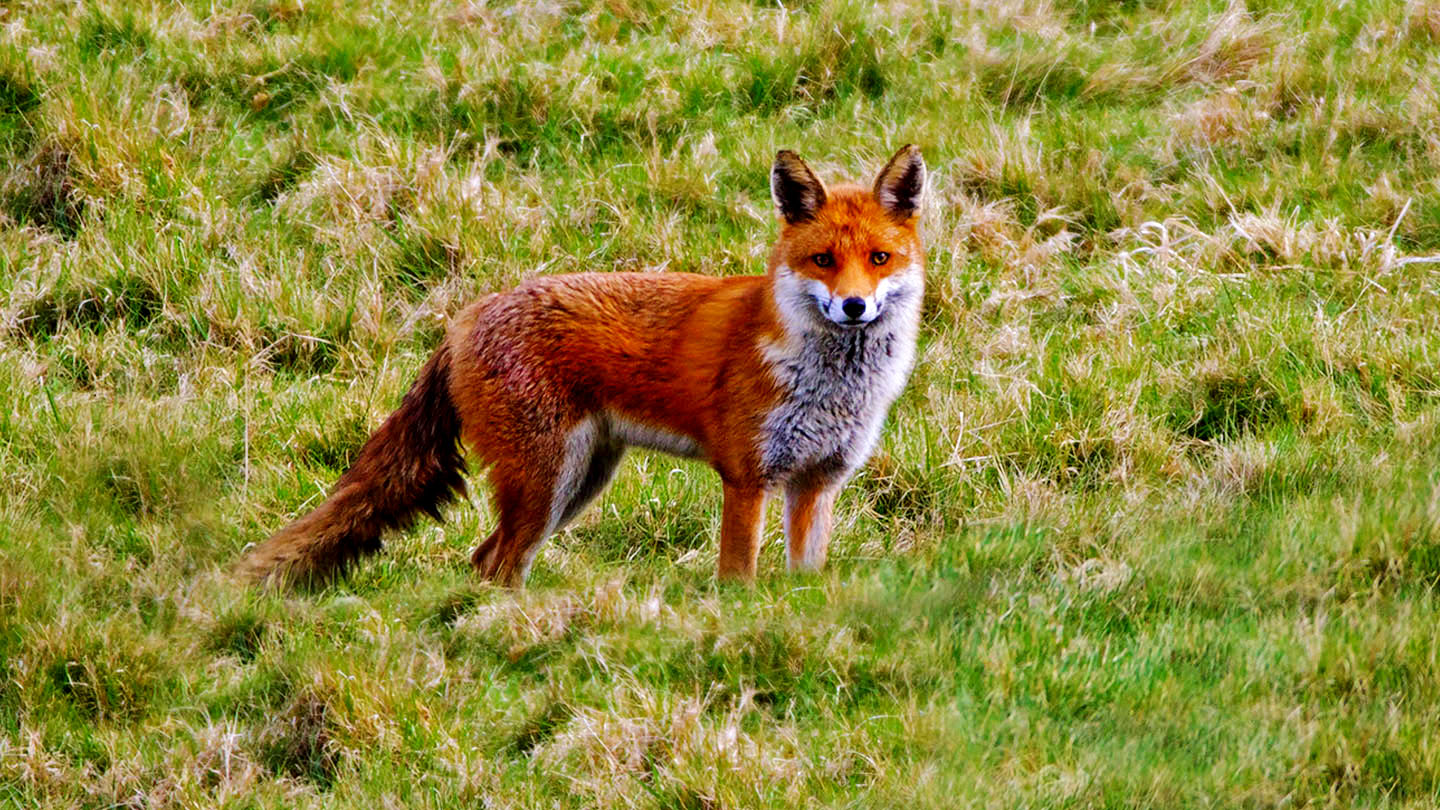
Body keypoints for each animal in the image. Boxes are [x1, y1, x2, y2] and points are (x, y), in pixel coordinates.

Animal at [239, 144, 927, 587]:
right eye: (822, 260)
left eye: (879, 257)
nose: (855, 306)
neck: (827, 384)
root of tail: (466, 317)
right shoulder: (747, 478)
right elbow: (738, 579)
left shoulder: (817, 482)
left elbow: (804, 577)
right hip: (546, 482)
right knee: (496, 563)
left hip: (579, 481)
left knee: (486, 560)